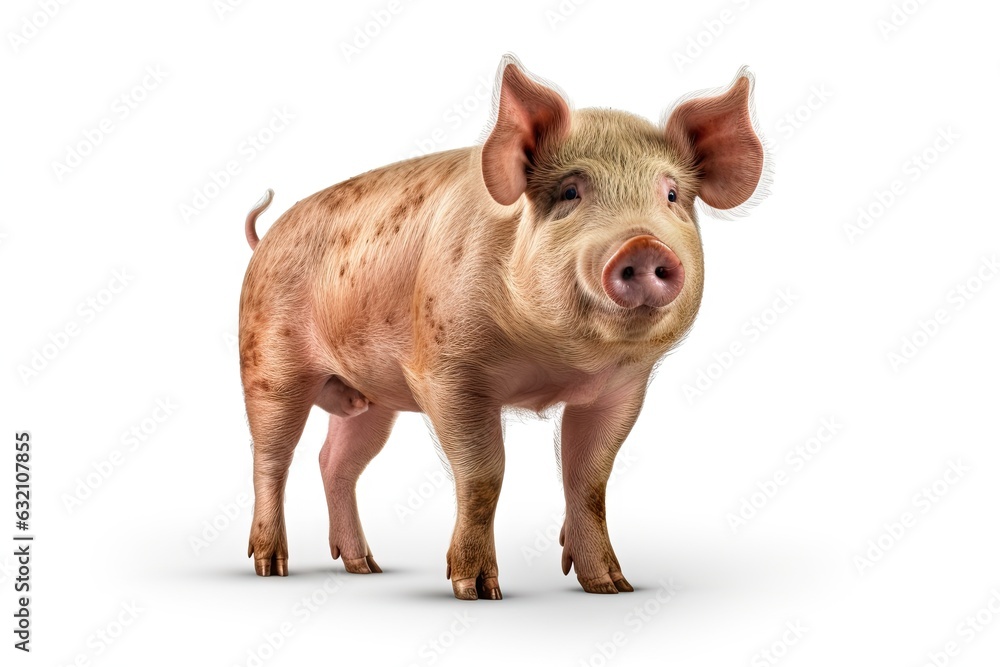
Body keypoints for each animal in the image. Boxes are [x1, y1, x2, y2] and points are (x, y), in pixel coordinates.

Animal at [239, 54, 766, 600]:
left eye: (672, 195)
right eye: (571, 191)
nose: (642, 245)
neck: (557, 362)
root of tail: (266, 238)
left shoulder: (622, 389)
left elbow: (589, 479)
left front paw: (612, 586)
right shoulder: (447, 373)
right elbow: (484, 475)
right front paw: (476, 591)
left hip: (369, 396)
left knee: (335, 461)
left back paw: (366, 567)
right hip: (266, 360)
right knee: (271, 457)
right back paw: (272, 566)